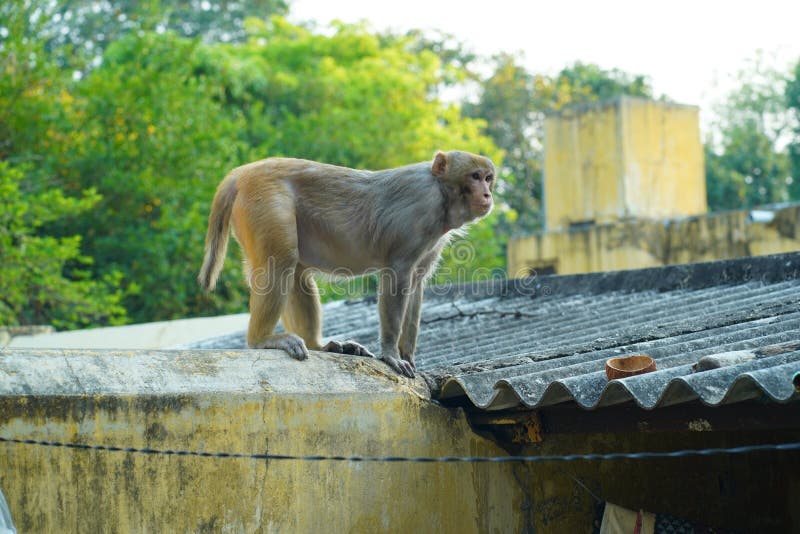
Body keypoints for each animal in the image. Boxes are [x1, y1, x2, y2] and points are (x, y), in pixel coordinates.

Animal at [198, 151, 495, 378]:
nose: (488, 194)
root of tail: (242, 173)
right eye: (475, 176)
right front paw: (391, 354)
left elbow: (417, 282)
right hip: (264, 202)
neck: (441, 193)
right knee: (280, 261)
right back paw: (262, 340)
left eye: (488, 178)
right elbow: (397, 276)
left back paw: (318, 345)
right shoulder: (419, 211)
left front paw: (408, 355)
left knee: (295, 271)